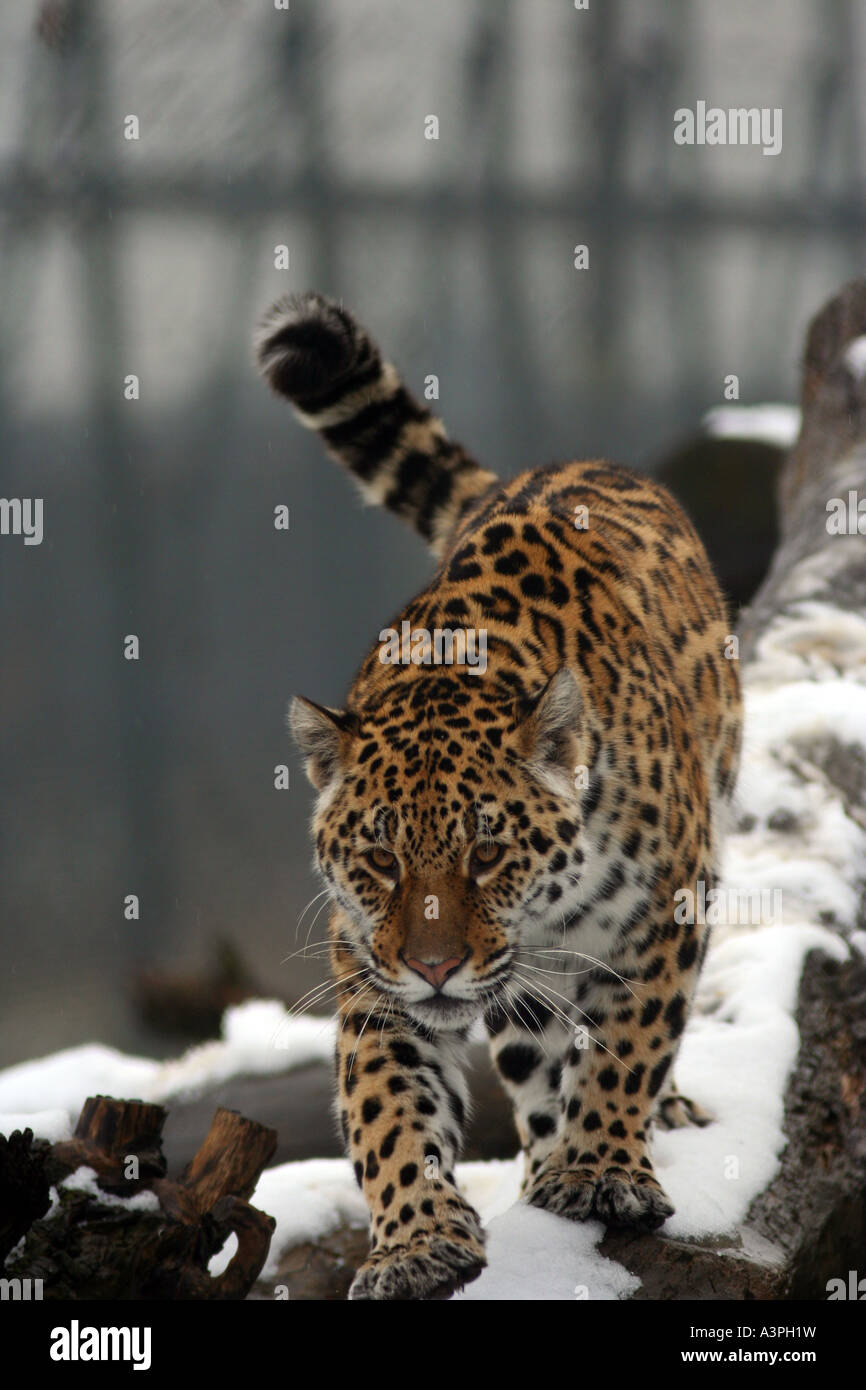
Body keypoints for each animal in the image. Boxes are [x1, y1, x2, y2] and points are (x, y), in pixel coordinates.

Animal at [254, 291, 743, 1301]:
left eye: (487, 853)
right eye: (379, 858)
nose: (436, 968)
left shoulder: (665, 913)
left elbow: (628, 1044)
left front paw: (600, 1170)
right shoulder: (371, 973)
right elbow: (386, 1110)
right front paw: (414, 1241)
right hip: (519, 1002)